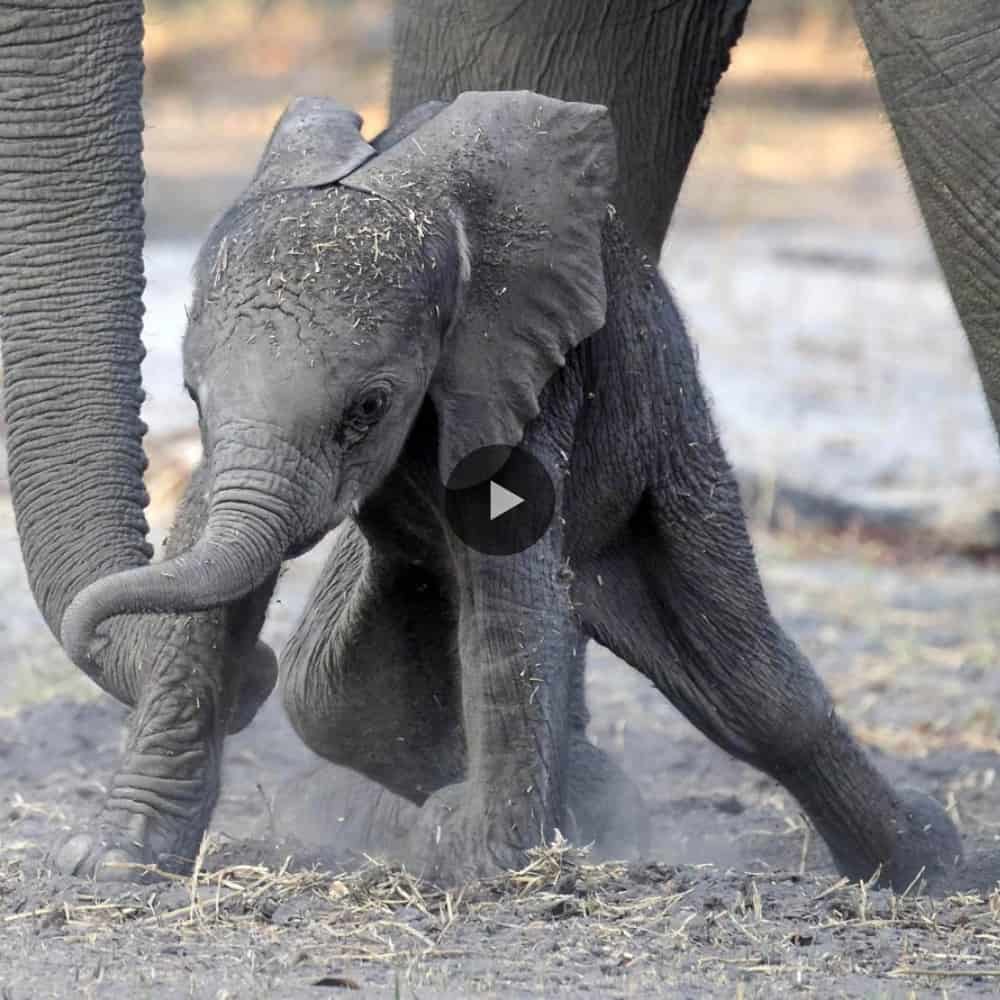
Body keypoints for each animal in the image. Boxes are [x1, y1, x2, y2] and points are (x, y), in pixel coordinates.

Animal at [0, 0, 995, 881]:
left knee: (747, 685)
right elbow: (214, 578)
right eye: (191, 398)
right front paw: (110, 862)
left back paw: (929, 863)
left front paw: (481, 862)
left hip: (677, 450)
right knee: (343, 686)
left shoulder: (523, 376)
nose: (257, 672)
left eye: (369, 408)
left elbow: (509, 589)